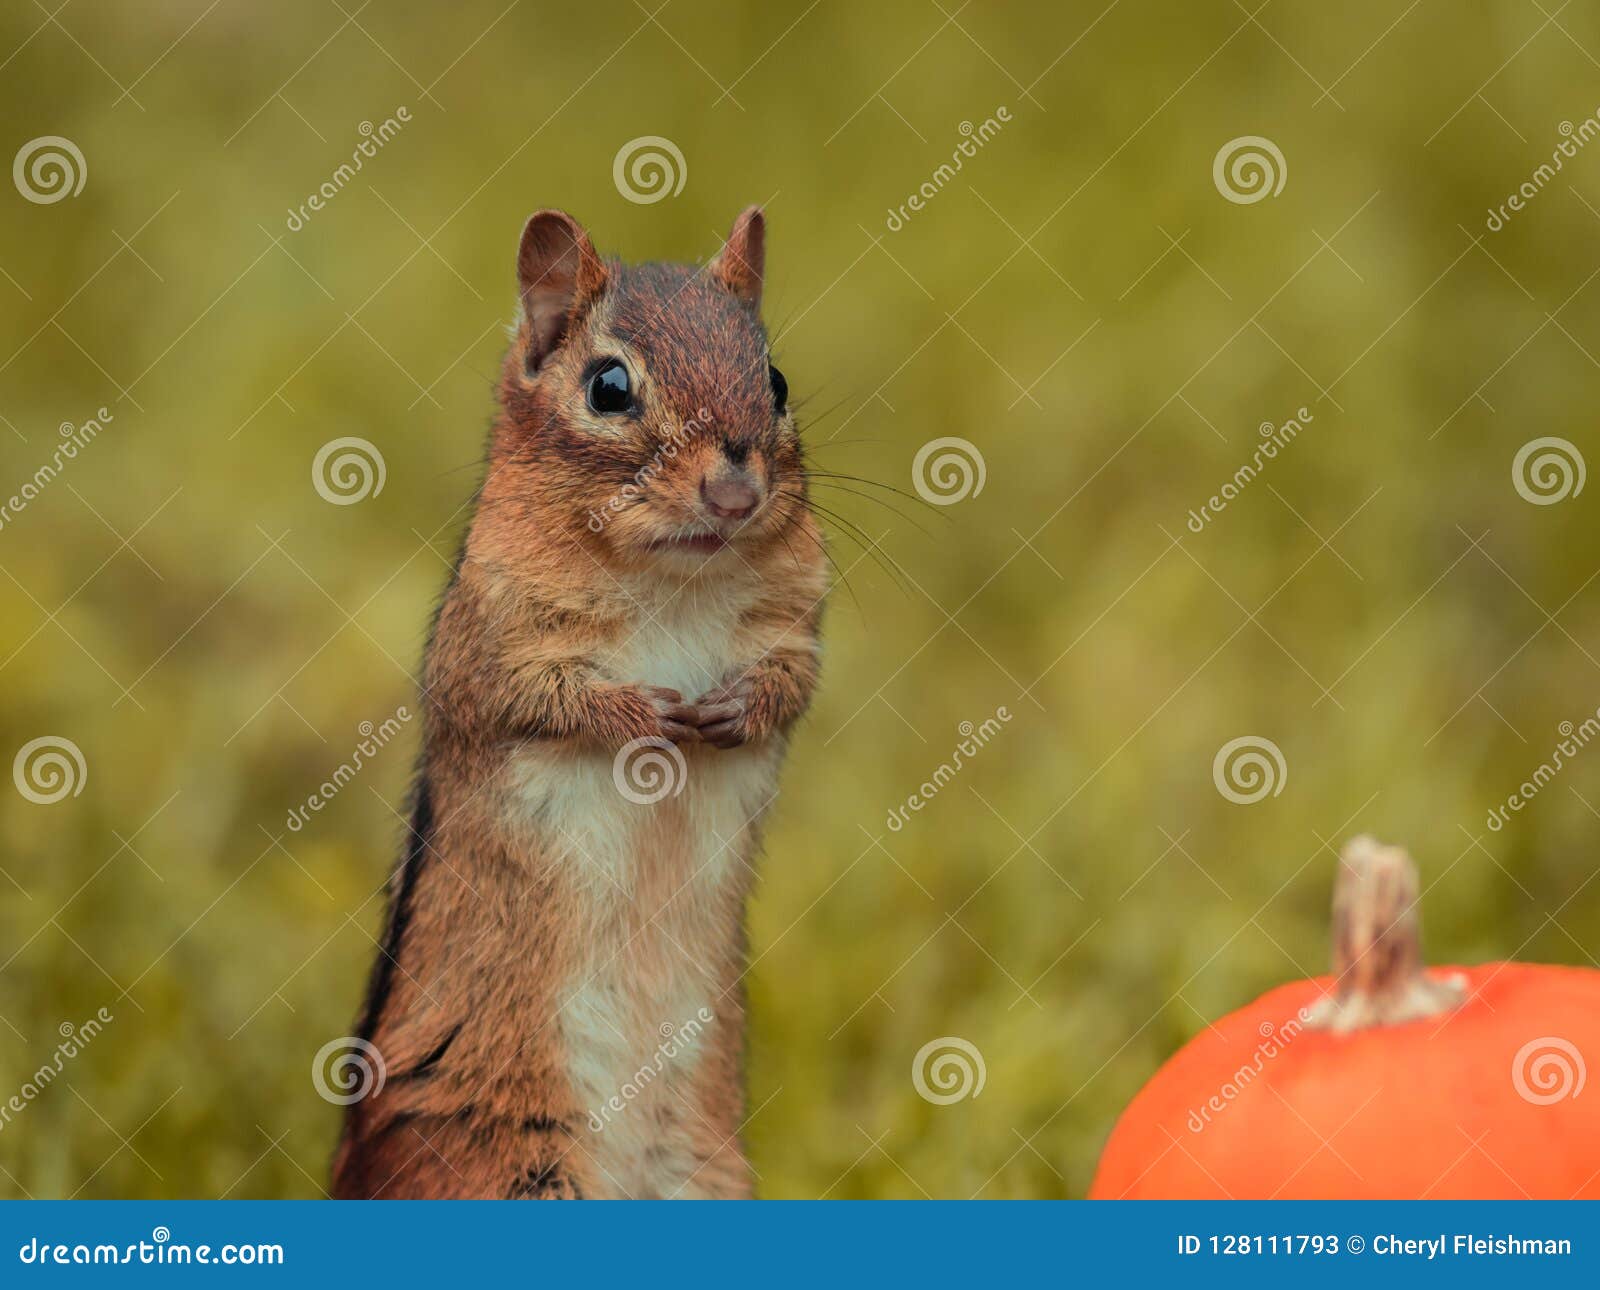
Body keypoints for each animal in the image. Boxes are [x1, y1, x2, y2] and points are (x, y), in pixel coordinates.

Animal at [330, 206, 826, 1200]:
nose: (736, 491)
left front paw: (733, 711)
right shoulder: (491, 648)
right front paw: (644, 717)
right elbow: (541, 699)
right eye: (609, 387)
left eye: (777, 379)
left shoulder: (798, 621)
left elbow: (791, 683)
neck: (676, 577)